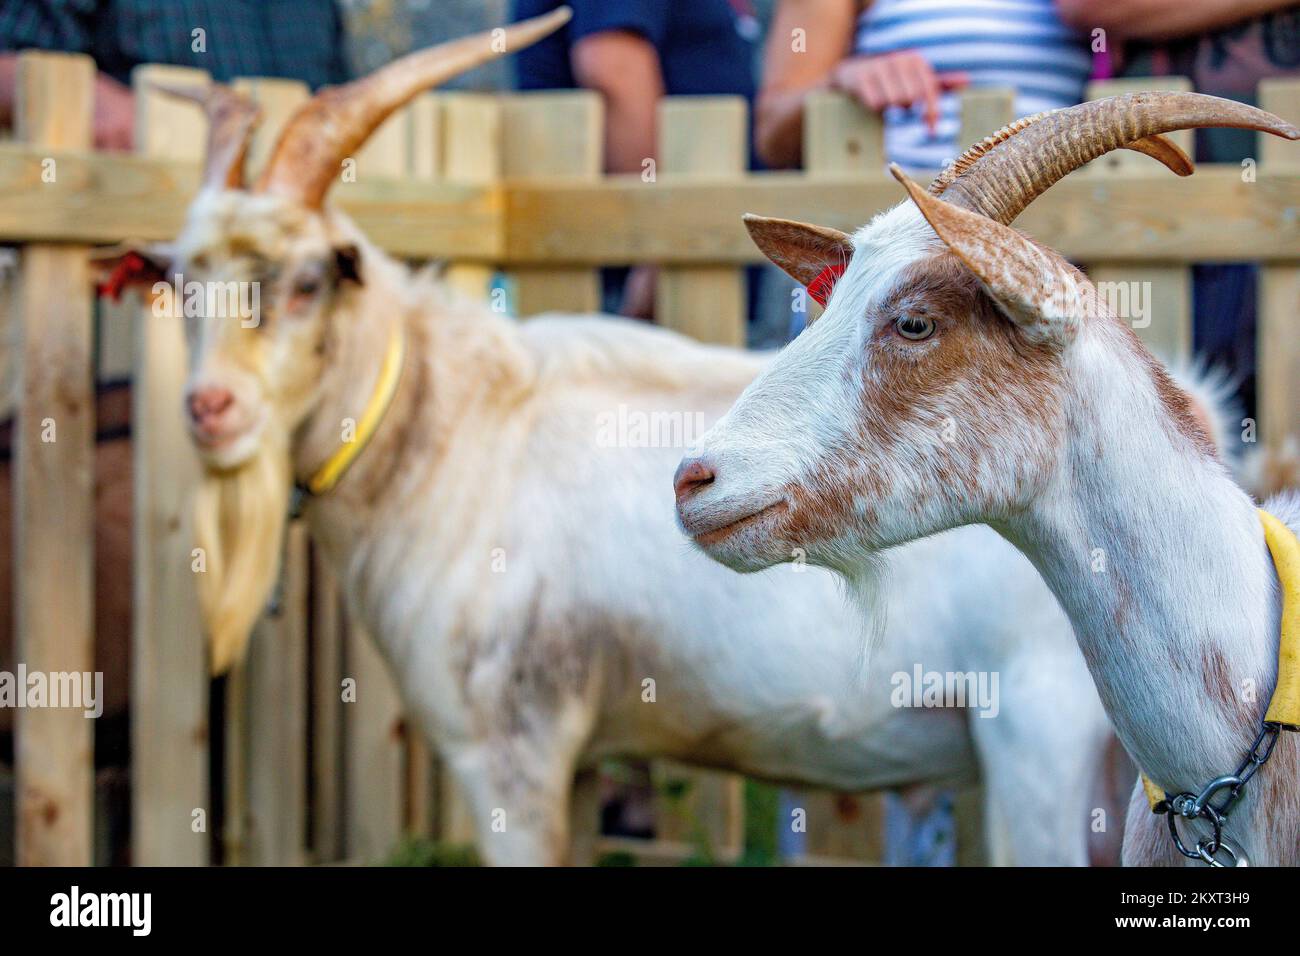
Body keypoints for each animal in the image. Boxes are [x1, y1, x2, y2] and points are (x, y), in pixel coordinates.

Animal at [105, 11, 1125, 865]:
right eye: (184, 282)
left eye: (312, 278)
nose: (211, 408)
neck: (458, 431)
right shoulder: (582, 753)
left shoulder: (509, 748)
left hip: (1041, 738)